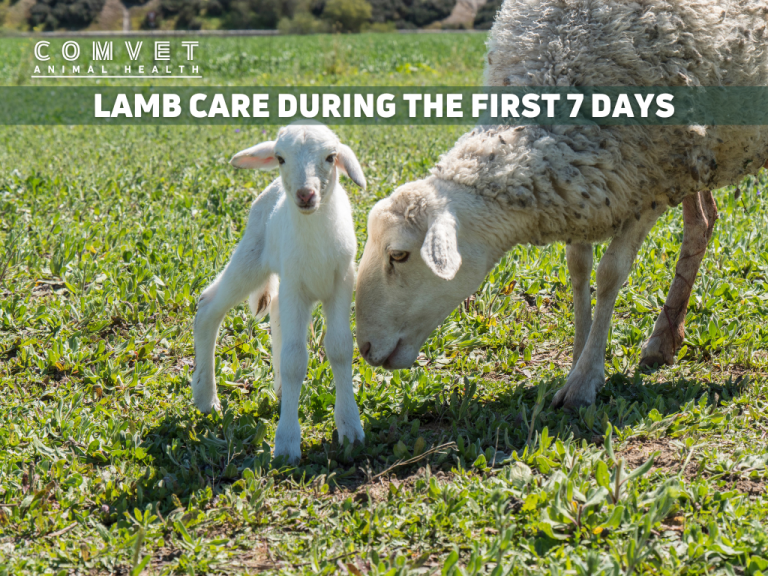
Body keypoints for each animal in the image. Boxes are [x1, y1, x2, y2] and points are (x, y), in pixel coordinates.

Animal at [191, 122, 367, 464]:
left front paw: (350, 427)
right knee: (208, 307)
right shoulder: (296, 285)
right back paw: (206, 398)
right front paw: (286, 443)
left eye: (331, 157)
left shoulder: (341, 281)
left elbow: (339, 348)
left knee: (275, 315)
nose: (305, 194)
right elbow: (295, 360)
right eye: (281, 158)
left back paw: (282, 390)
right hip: (253, 256)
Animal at [354, 0, 768, 410]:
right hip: (699, 156)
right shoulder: (586, 185)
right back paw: (663, 340)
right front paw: (577, 358)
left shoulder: (649, 180)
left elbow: (610, 274)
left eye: (399, 255)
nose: (366, 348)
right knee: (703, 221)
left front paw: (584, 381)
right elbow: (578, 268)